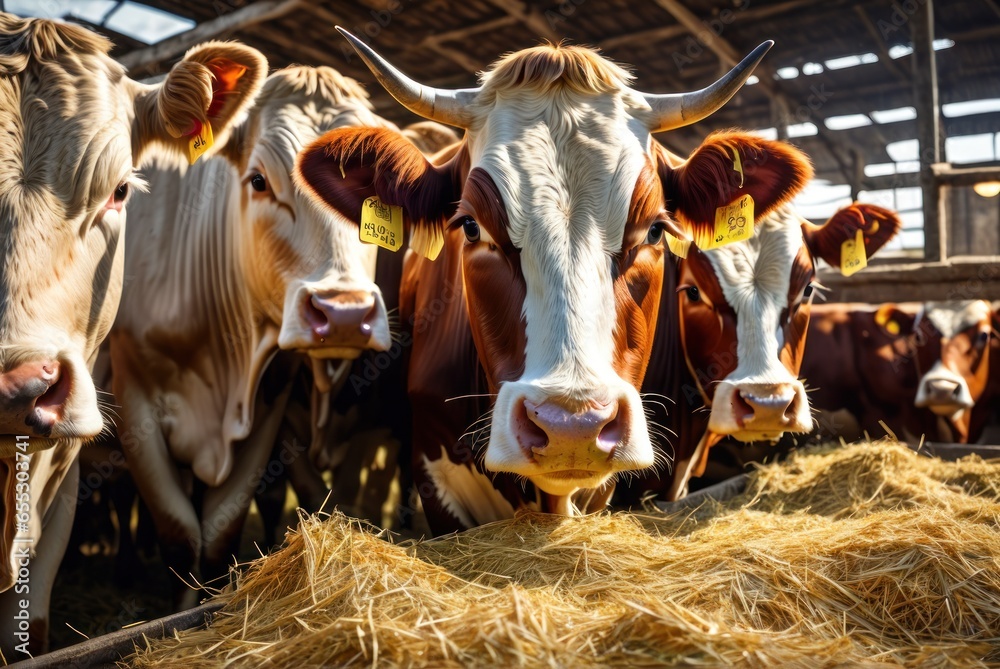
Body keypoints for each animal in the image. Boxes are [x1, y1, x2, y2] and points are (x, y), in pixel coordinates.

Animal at [108, 65, 416, 607]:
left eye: (378, 201)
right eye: (258, 180)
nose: (344, 313)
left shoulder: (271, 407)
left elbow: (220, 534)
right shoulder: (133, 400)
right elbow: (178, 533)